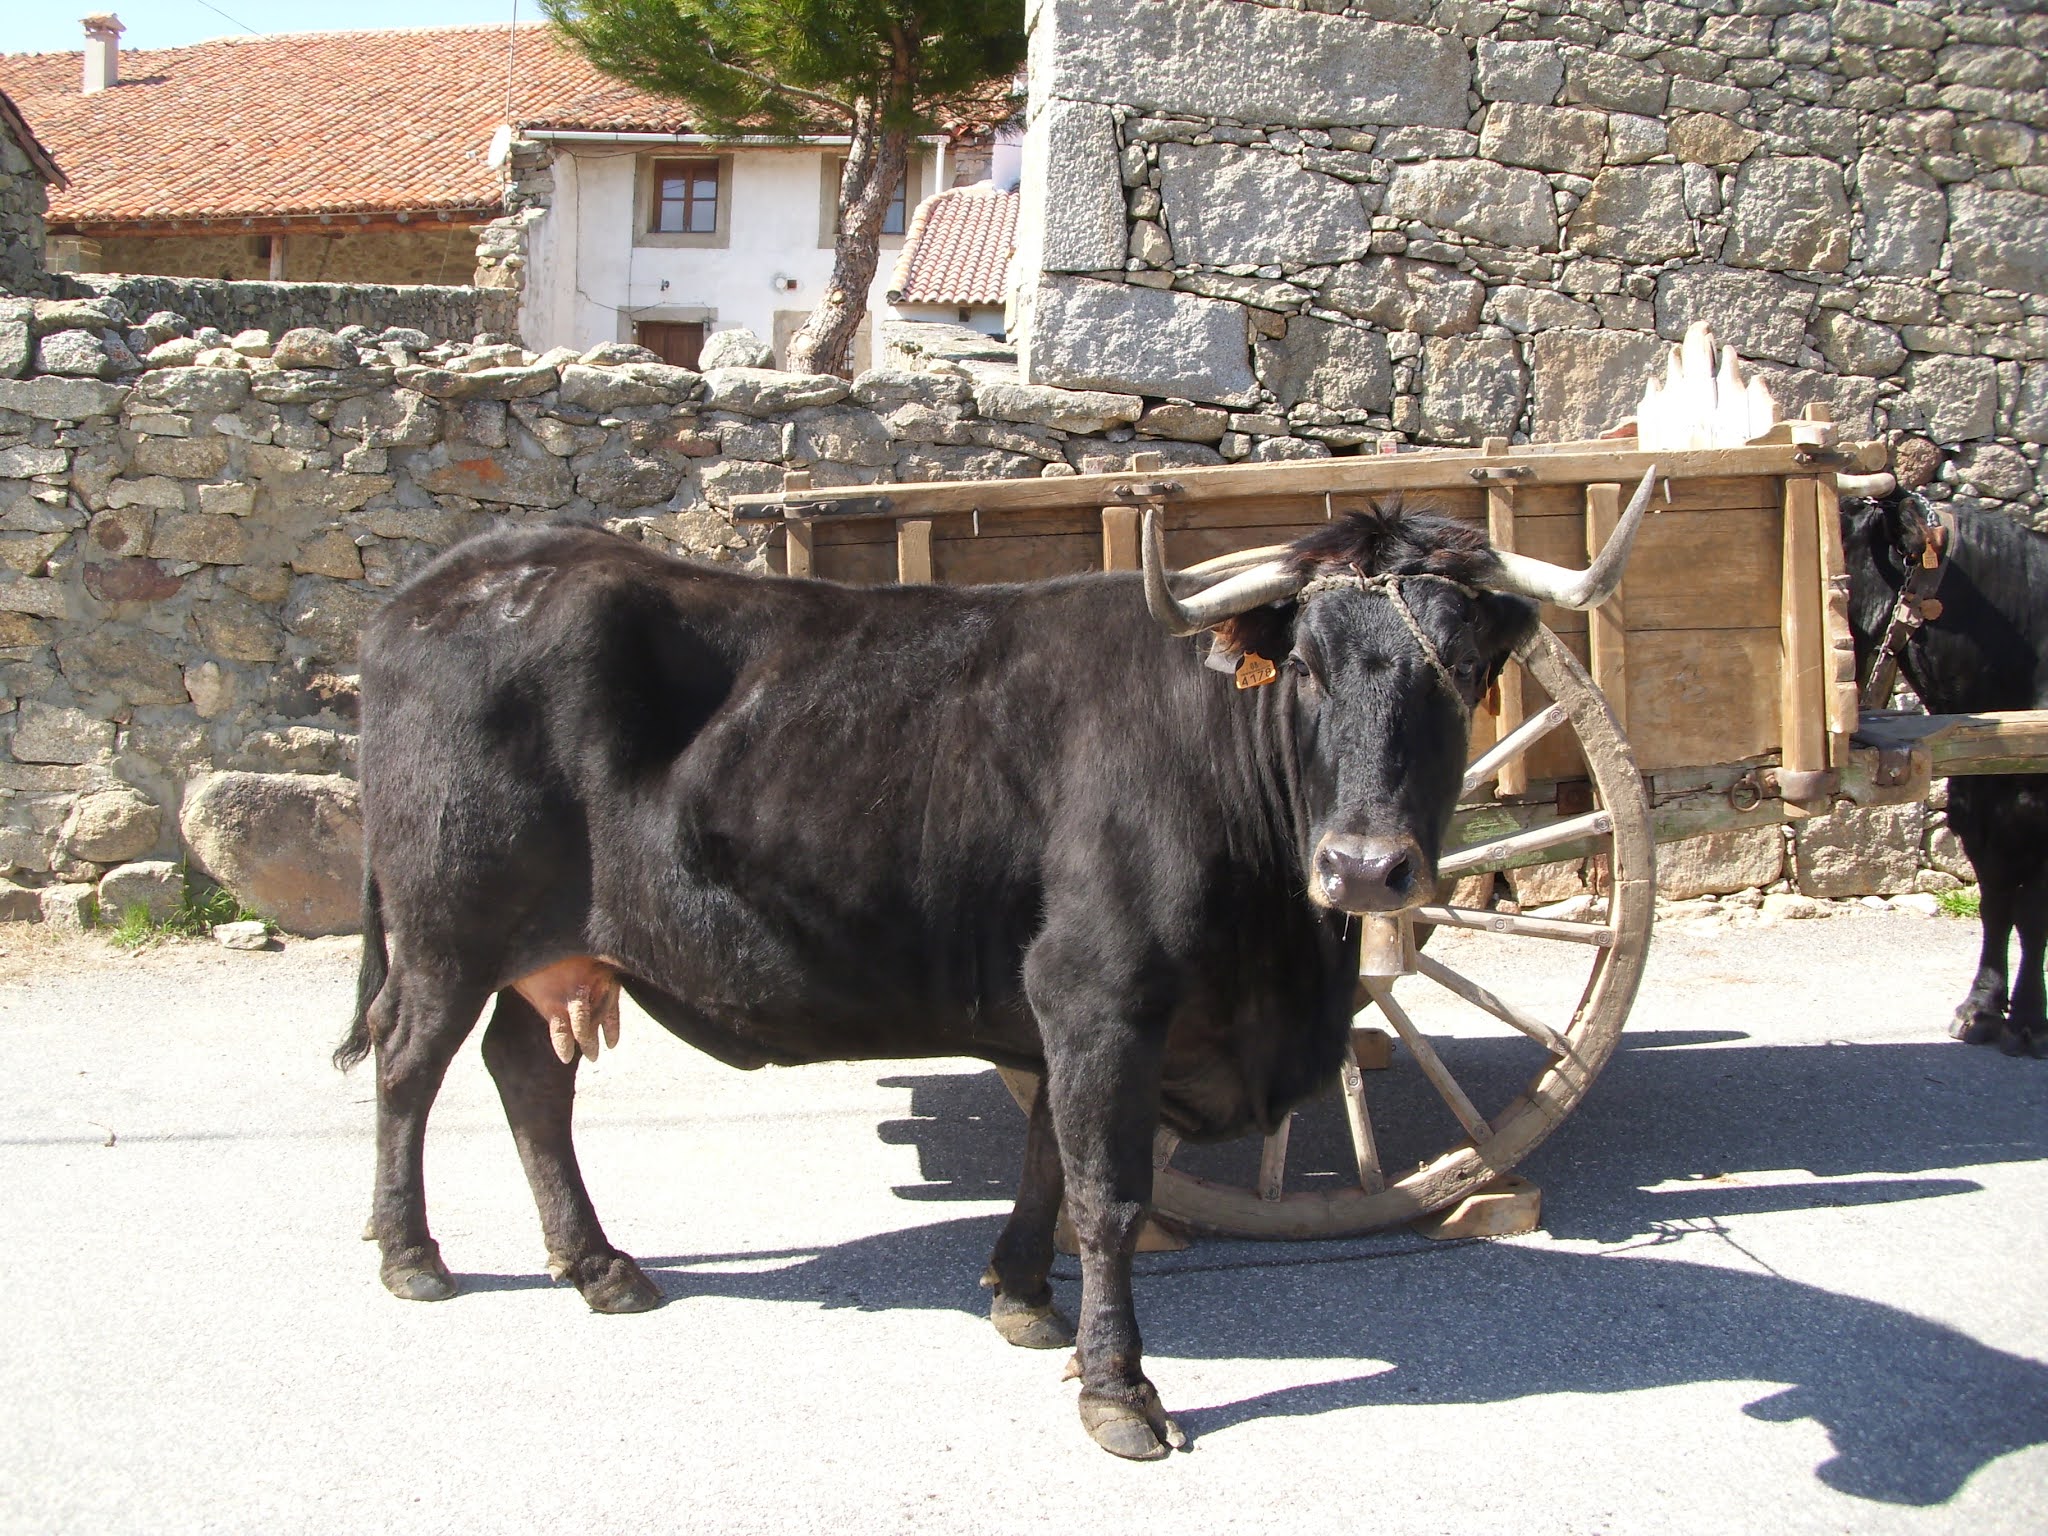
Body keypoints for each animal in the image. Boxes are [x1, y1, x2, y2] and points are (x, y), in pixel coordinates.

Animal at [334, 468, 1656, 1458]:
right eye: (1312, 665)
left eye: (1464, 671)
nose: (1366, 869)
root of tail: (455, 577)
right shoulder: (1102, 996)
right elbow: (1108, 1192)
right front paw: (1117, 1390)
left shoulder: (1059, 1014)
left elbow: (1046, 1165)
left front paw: (1022, 1297)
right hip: (450, 925)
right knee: (410, 1064)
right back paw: (412, 1255)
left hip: (548, 946)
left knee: (526, 1071)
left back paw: (596, 1263)